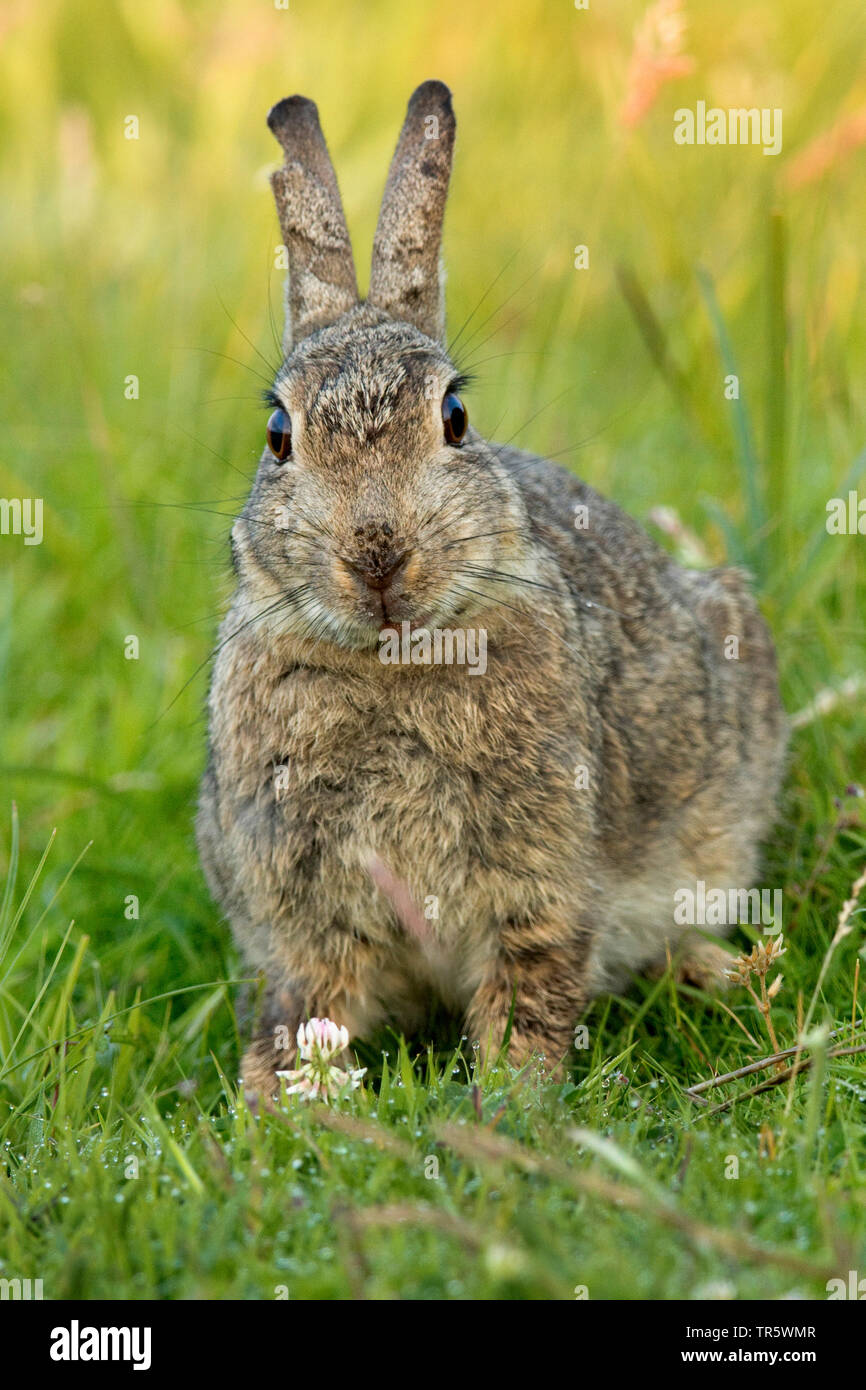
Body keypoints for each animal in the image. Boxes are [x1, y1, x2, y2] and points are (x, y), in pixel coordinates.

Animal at [196, 80, 787, 1096]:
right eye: (278, 435)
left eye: (456, 417)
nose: (378, 555)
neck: (392, 662)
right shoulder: (303, 897)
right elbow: (312, 1000)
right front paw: (277, 1103)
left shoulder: (539, 877)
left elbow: (532, 979)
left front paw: (513, 1098)